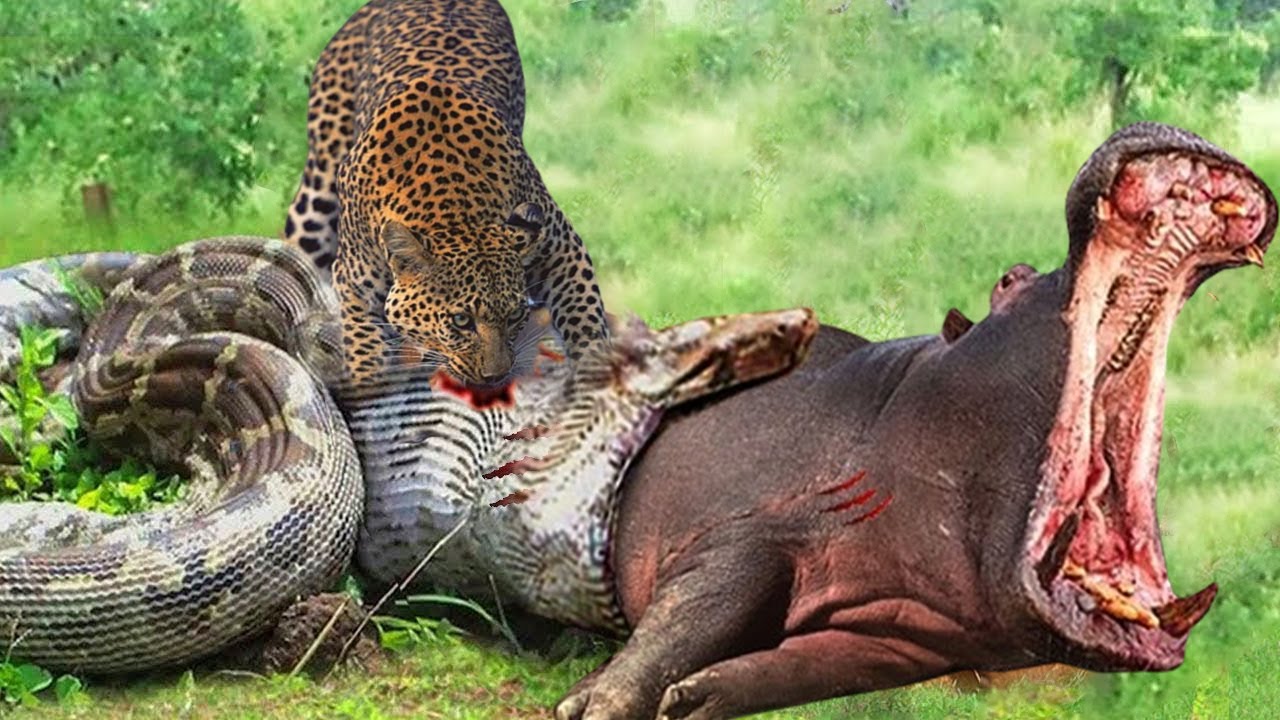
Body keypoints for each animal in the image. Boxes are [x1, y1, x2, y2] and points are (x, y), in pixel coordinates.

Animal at [283, 0, 609, 386]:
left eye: (515, 316)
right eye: (461, 320)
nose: (495, 377)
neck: (453, 203)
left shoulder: (562, 248)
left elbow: (585, 320)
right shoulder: (356, 284)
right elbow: (366, 352)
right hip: (316, 198)